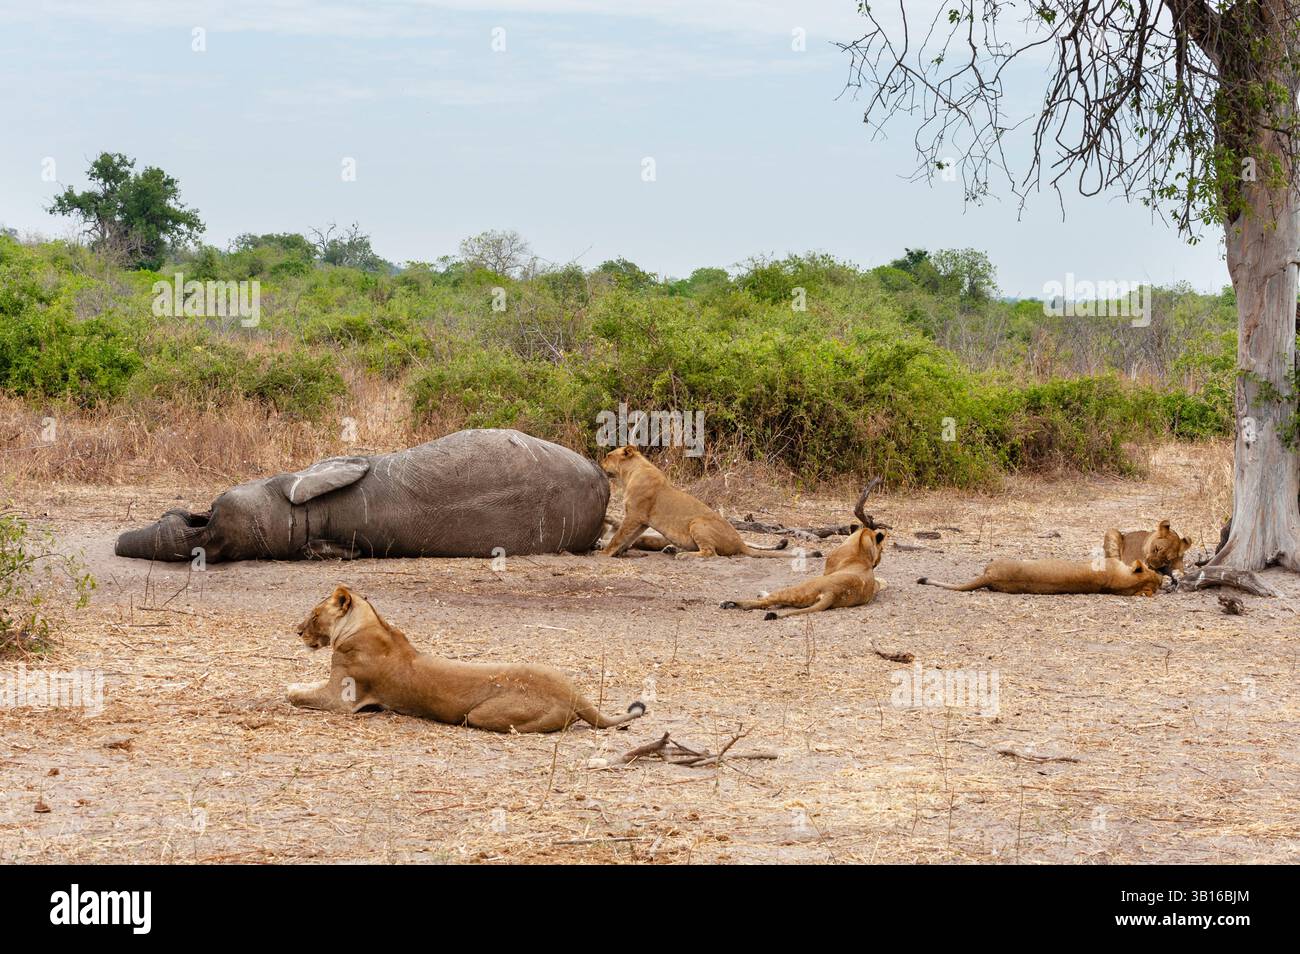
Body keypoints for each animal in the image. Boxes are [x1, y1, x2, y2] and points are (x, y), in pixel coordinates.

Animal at [287, 585, 646, 733]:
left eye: (314, 615)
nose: (297, 631)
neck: (366, 625)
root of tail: (573, 693)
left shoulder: (342, 699)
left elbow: (297, 695)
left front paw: (290, 689)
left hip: (479, 715)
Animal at [599, 446, 798, 558]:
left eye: (608, 455)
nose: (599, 463)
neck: (629, 474)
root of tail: (741, 543)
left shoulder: (634, 515)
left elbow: (618, 537)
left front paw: (604, 552)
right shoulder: (642, 520)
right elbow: (629, 538)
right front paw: (618, 552)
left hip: (697, 523)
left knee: (711, 553)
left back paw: (683, 556)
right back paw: (675, 551)